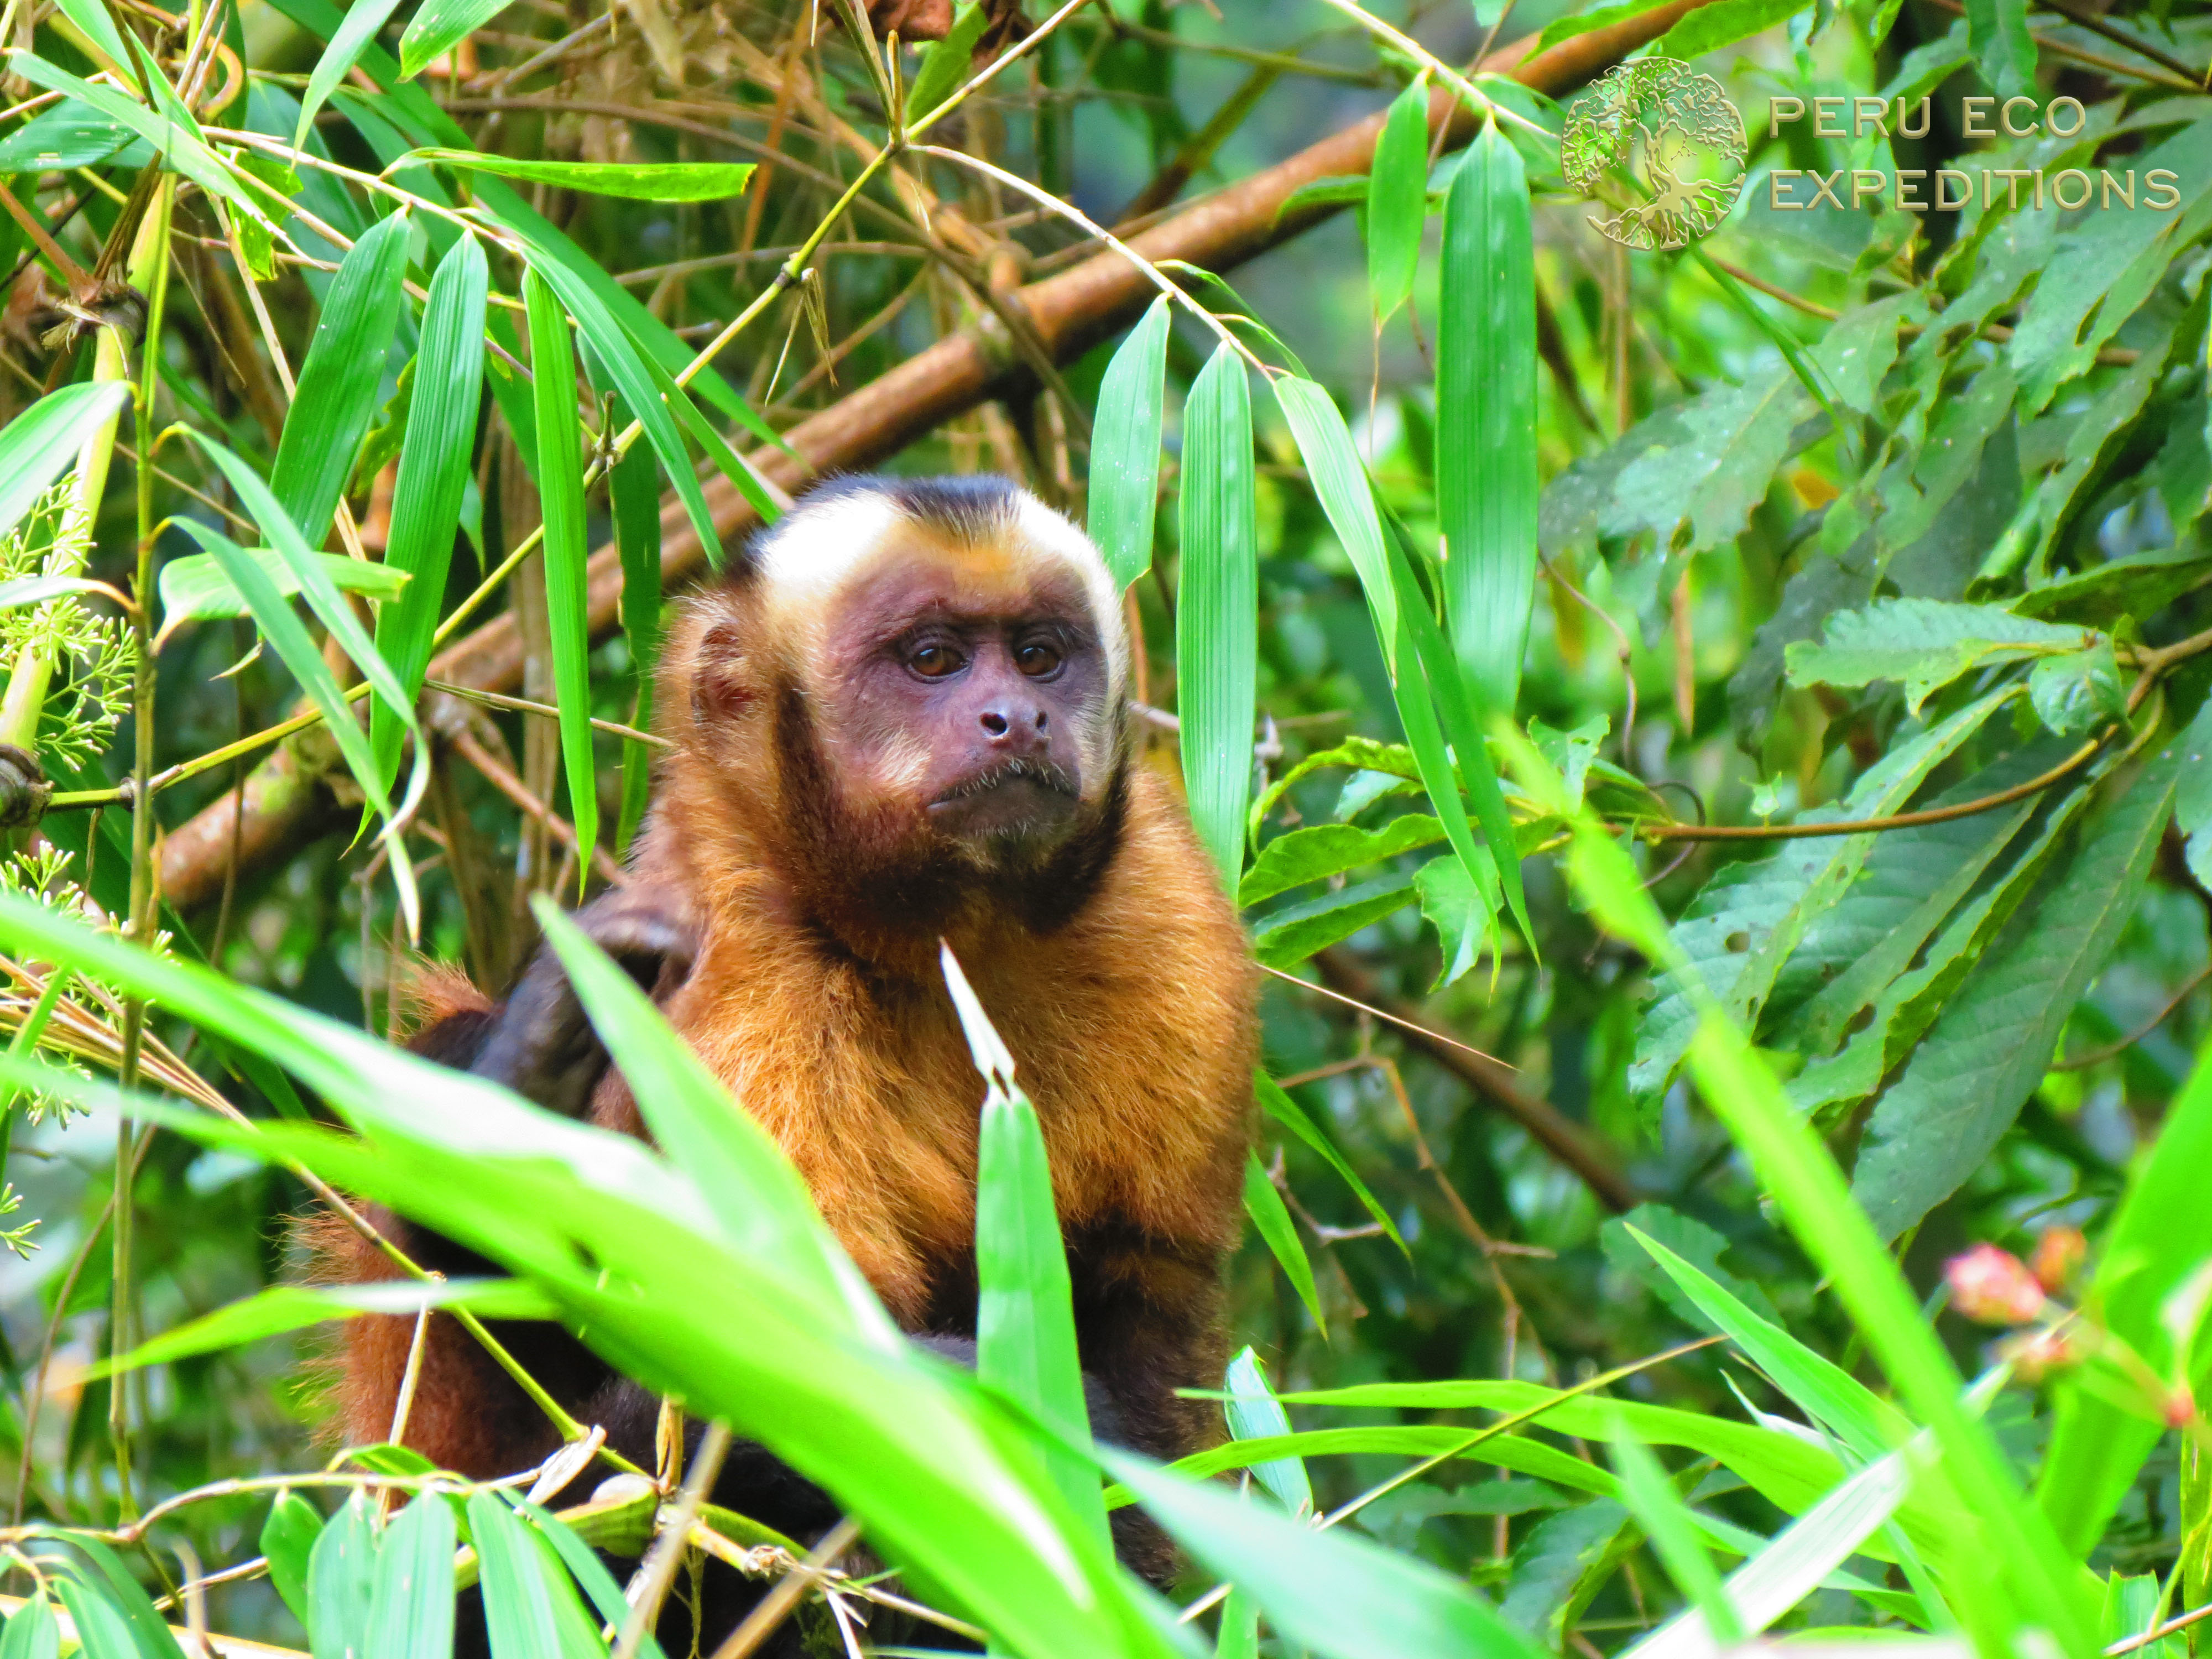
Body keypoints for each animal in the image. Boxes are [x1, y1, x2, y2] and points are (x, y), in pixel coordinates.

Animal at [314, 475, 1258, 1650]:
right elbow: (781, 1370)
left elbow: (1151, 1321)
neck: (939, 939)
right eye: (934, 661)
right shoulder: (734, 952)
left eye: (1040, 656)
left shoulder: (1167, 915)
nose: (1017, 717)